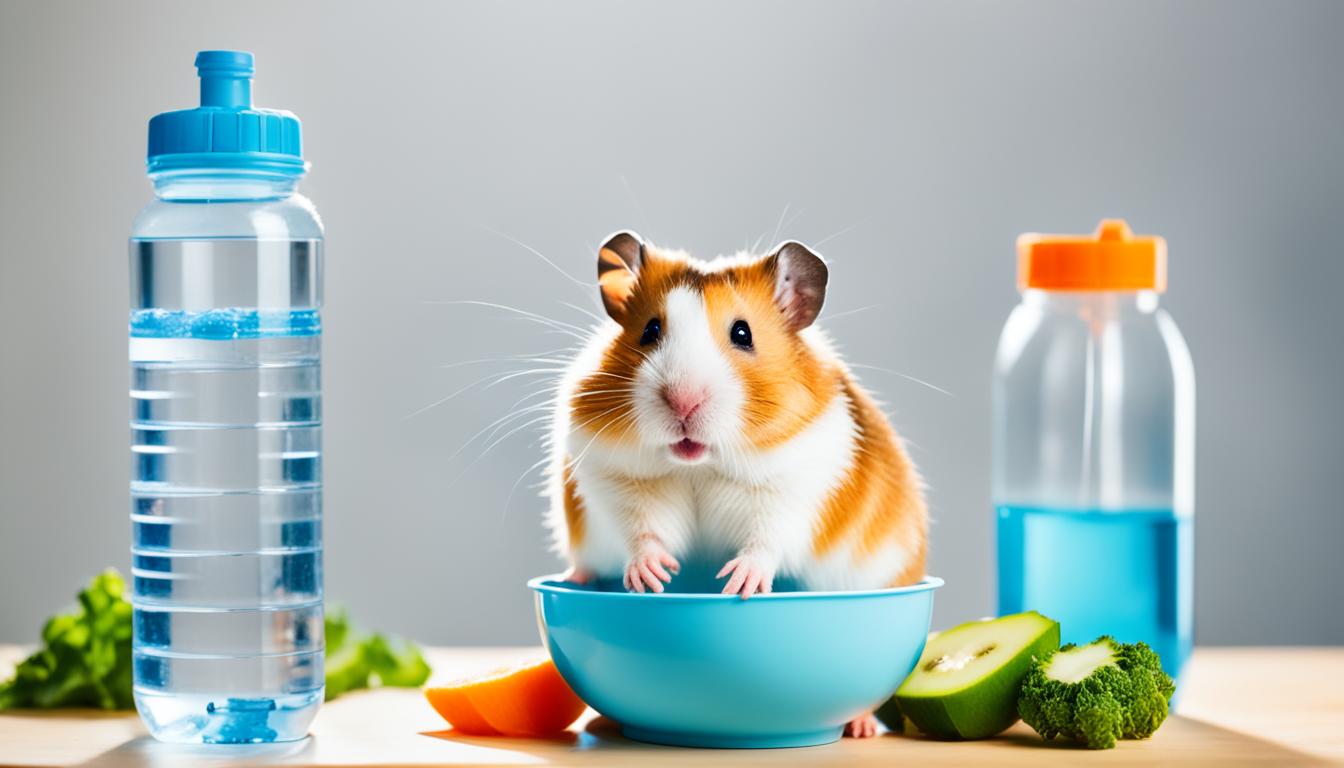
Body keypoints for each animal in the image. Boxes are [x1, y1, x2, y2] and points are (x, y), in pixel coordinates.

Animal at [545, 230, 928, 601]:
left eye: (743, 333)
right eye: (650, 331)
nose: (684, 402)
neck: (698, 466)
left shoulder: (793, 488)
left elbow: (767, 538)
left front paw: (738, 585)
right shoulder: (619, 479)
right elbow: (641, 527)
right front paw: (653, 577)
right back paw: (573, 577)